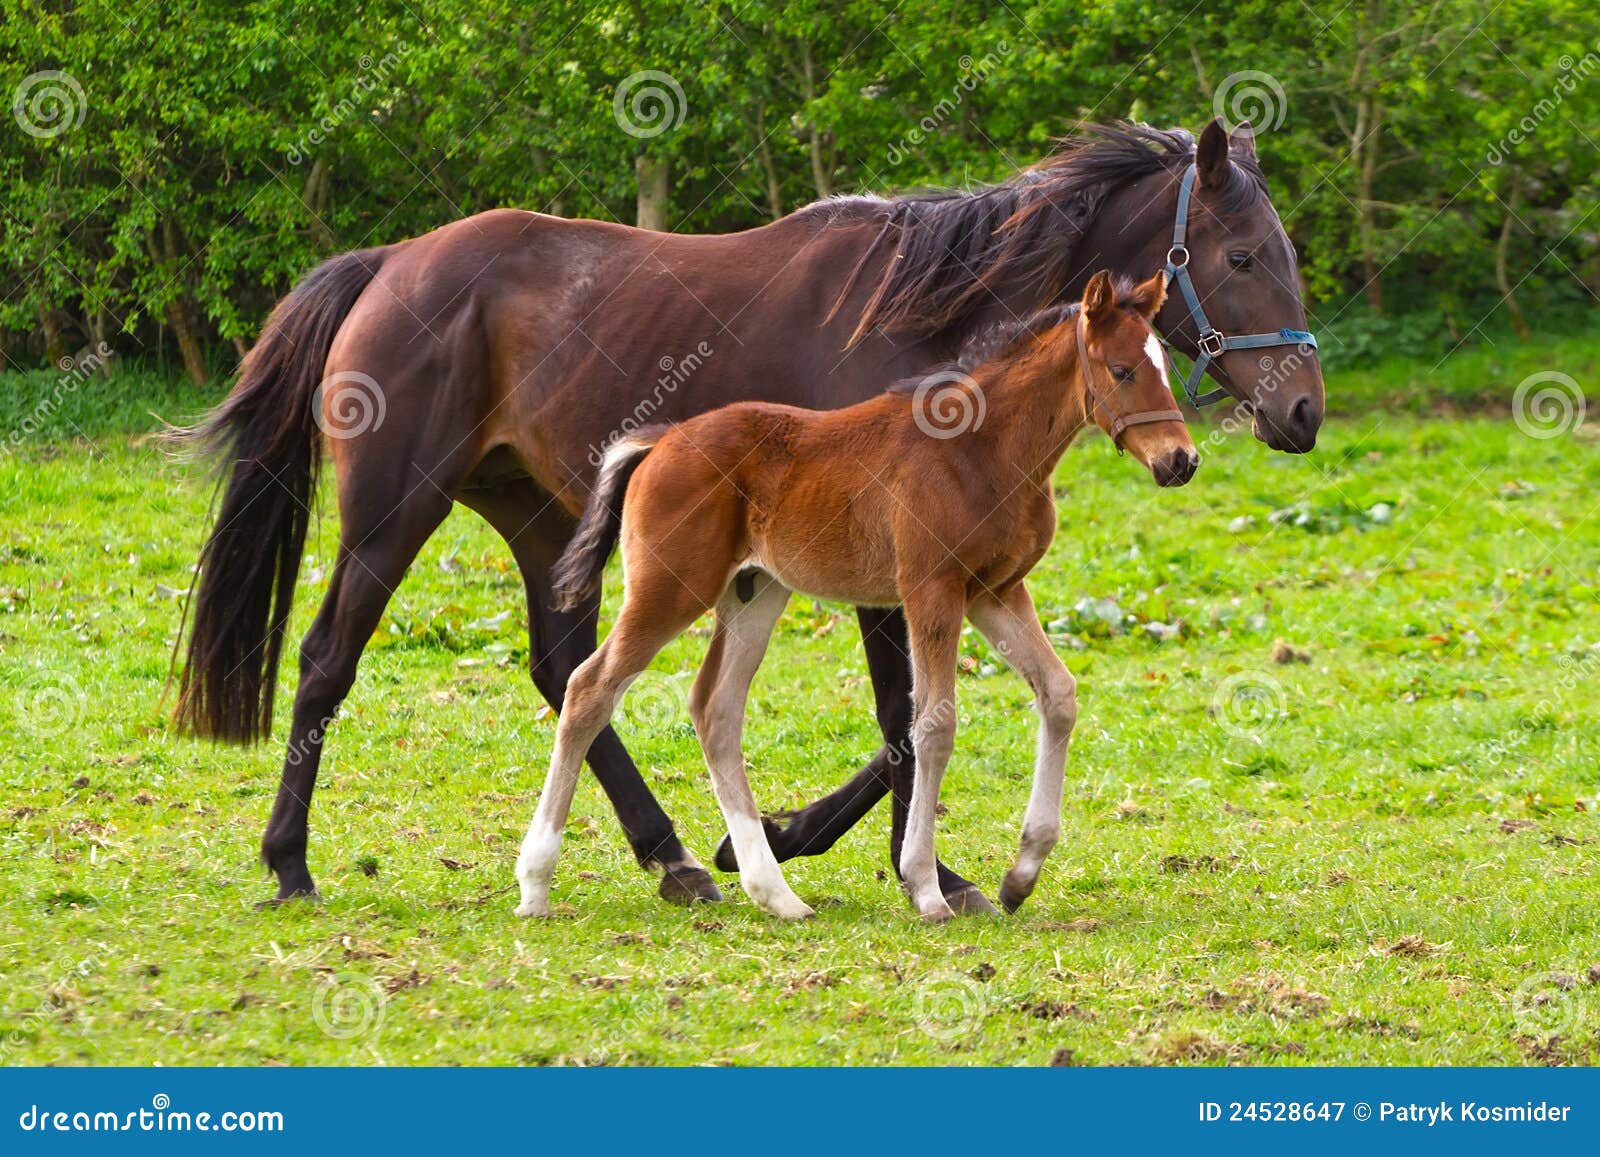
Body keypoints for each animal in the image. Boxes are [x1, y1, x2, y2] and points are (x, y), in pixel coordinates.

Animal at [515, 270, 1193, 921]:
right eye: (1122, 370)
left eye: (1165, 362)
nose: (1181, 461)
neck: (981, 452)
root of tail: (659, 442)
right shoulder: (931, 590)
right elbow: (934, 724)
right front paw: (926, 888)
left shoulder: (995, 591)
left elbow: (1058, 694)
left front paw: (1020, 877)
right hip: (669, 589)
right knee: (589, 687)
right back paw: (537, 884)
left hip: (754, 594)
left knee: (715, 709)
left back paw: (776, 894)